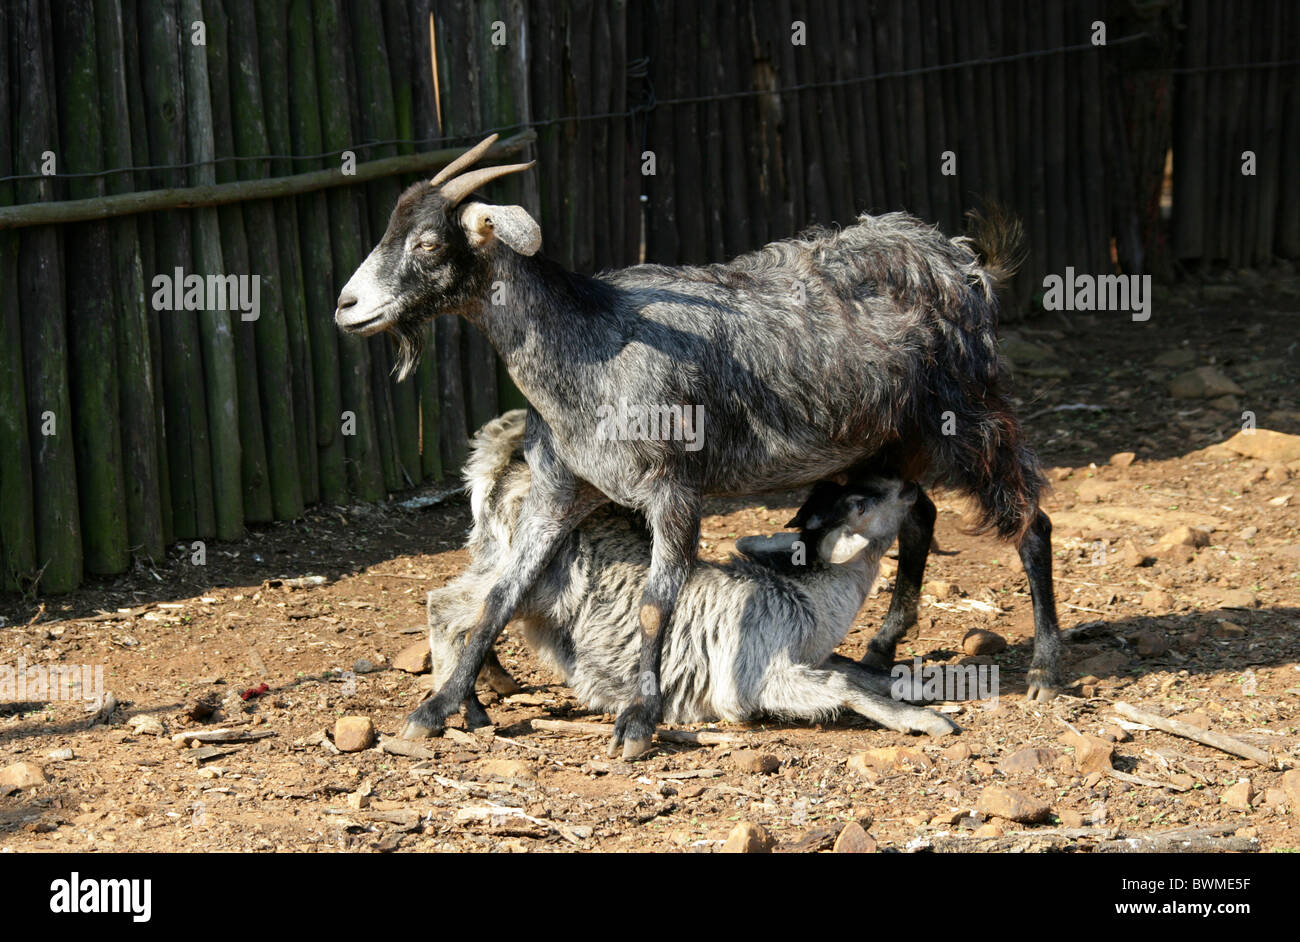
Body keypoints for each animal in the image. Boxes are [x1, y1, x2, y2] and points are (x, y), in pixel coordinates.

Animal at [427, 410, 960, 738]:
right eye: (863, 504)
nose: (910, 485)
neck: (803, 600)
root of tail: (504, 465)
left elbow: (855, 670)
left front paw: (921, 687)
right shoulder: (756, 676)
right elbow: (842, 686)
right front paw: (924, 720)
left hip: (496, 559)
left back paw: (489, 687)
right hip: (532, 581)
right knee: (447, 606)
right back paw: (457, 706)